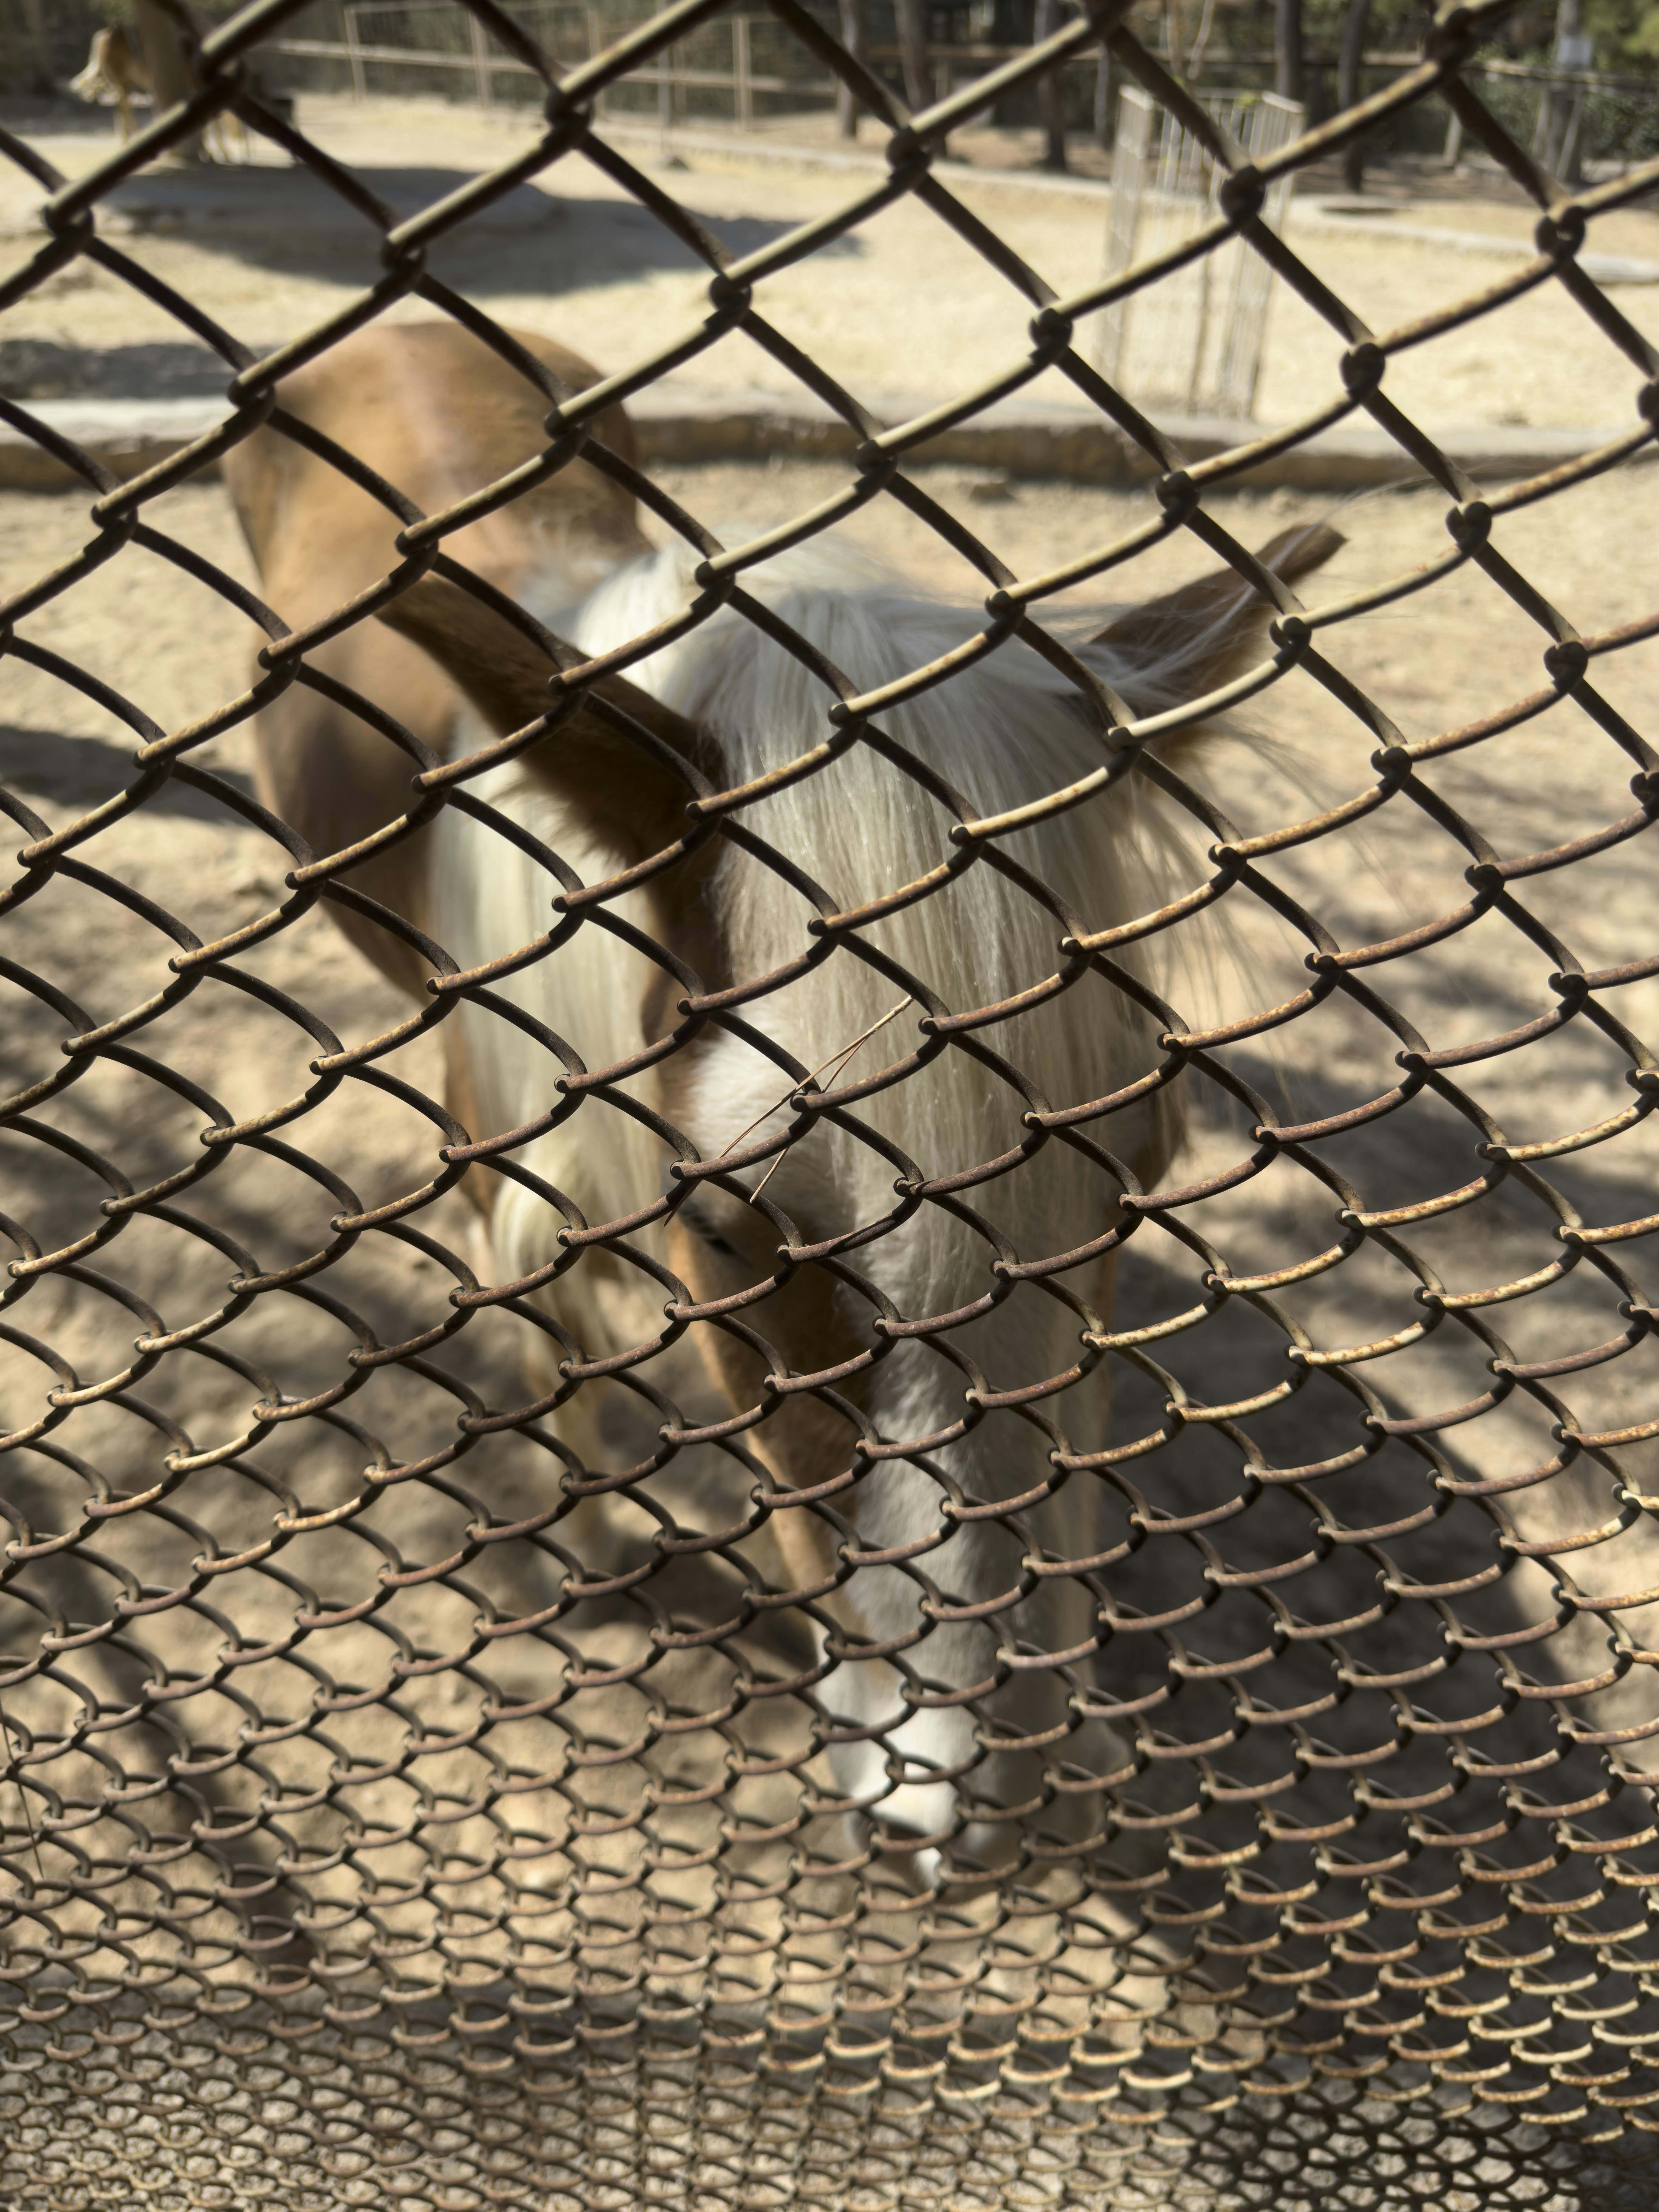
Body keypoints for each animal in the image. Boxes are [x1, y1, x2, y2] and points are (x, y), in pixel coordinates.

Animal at [224, 319, 1341, 1880]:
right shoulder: (499, 1144)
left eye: (1139, 1172)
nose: (986, 1802)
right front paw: (582, 1549)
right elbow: (553, 1332)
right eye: (736, 1230)